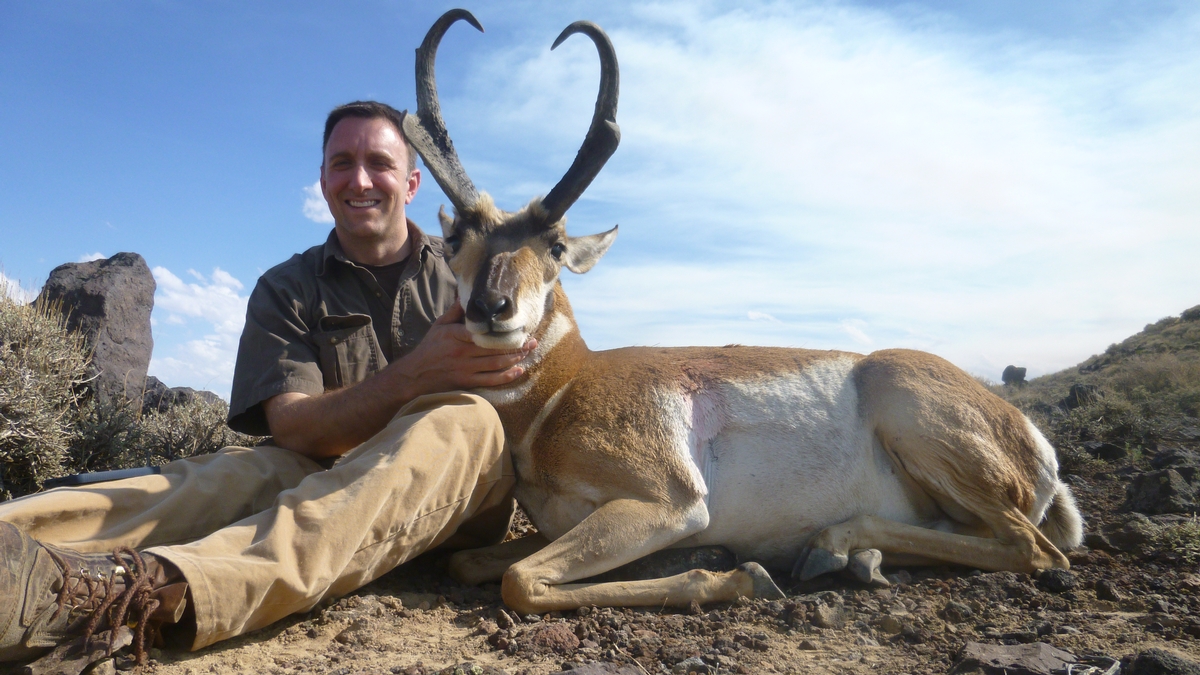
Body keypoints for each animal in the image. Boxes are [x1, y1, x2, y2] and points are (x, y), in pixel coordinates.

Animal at [404, 9, 1084, 615]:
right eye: (456, 239)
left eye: (555, 245)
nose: (490, 307)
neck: (565, 387)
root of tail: (1031, 438)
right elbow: (471, 561)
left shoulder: (668, 504)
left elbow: (519, 580)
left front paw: (734, 577)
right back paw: (851, 557)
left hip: (910, 409)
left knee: (1033, 549)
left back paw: (829, 547)